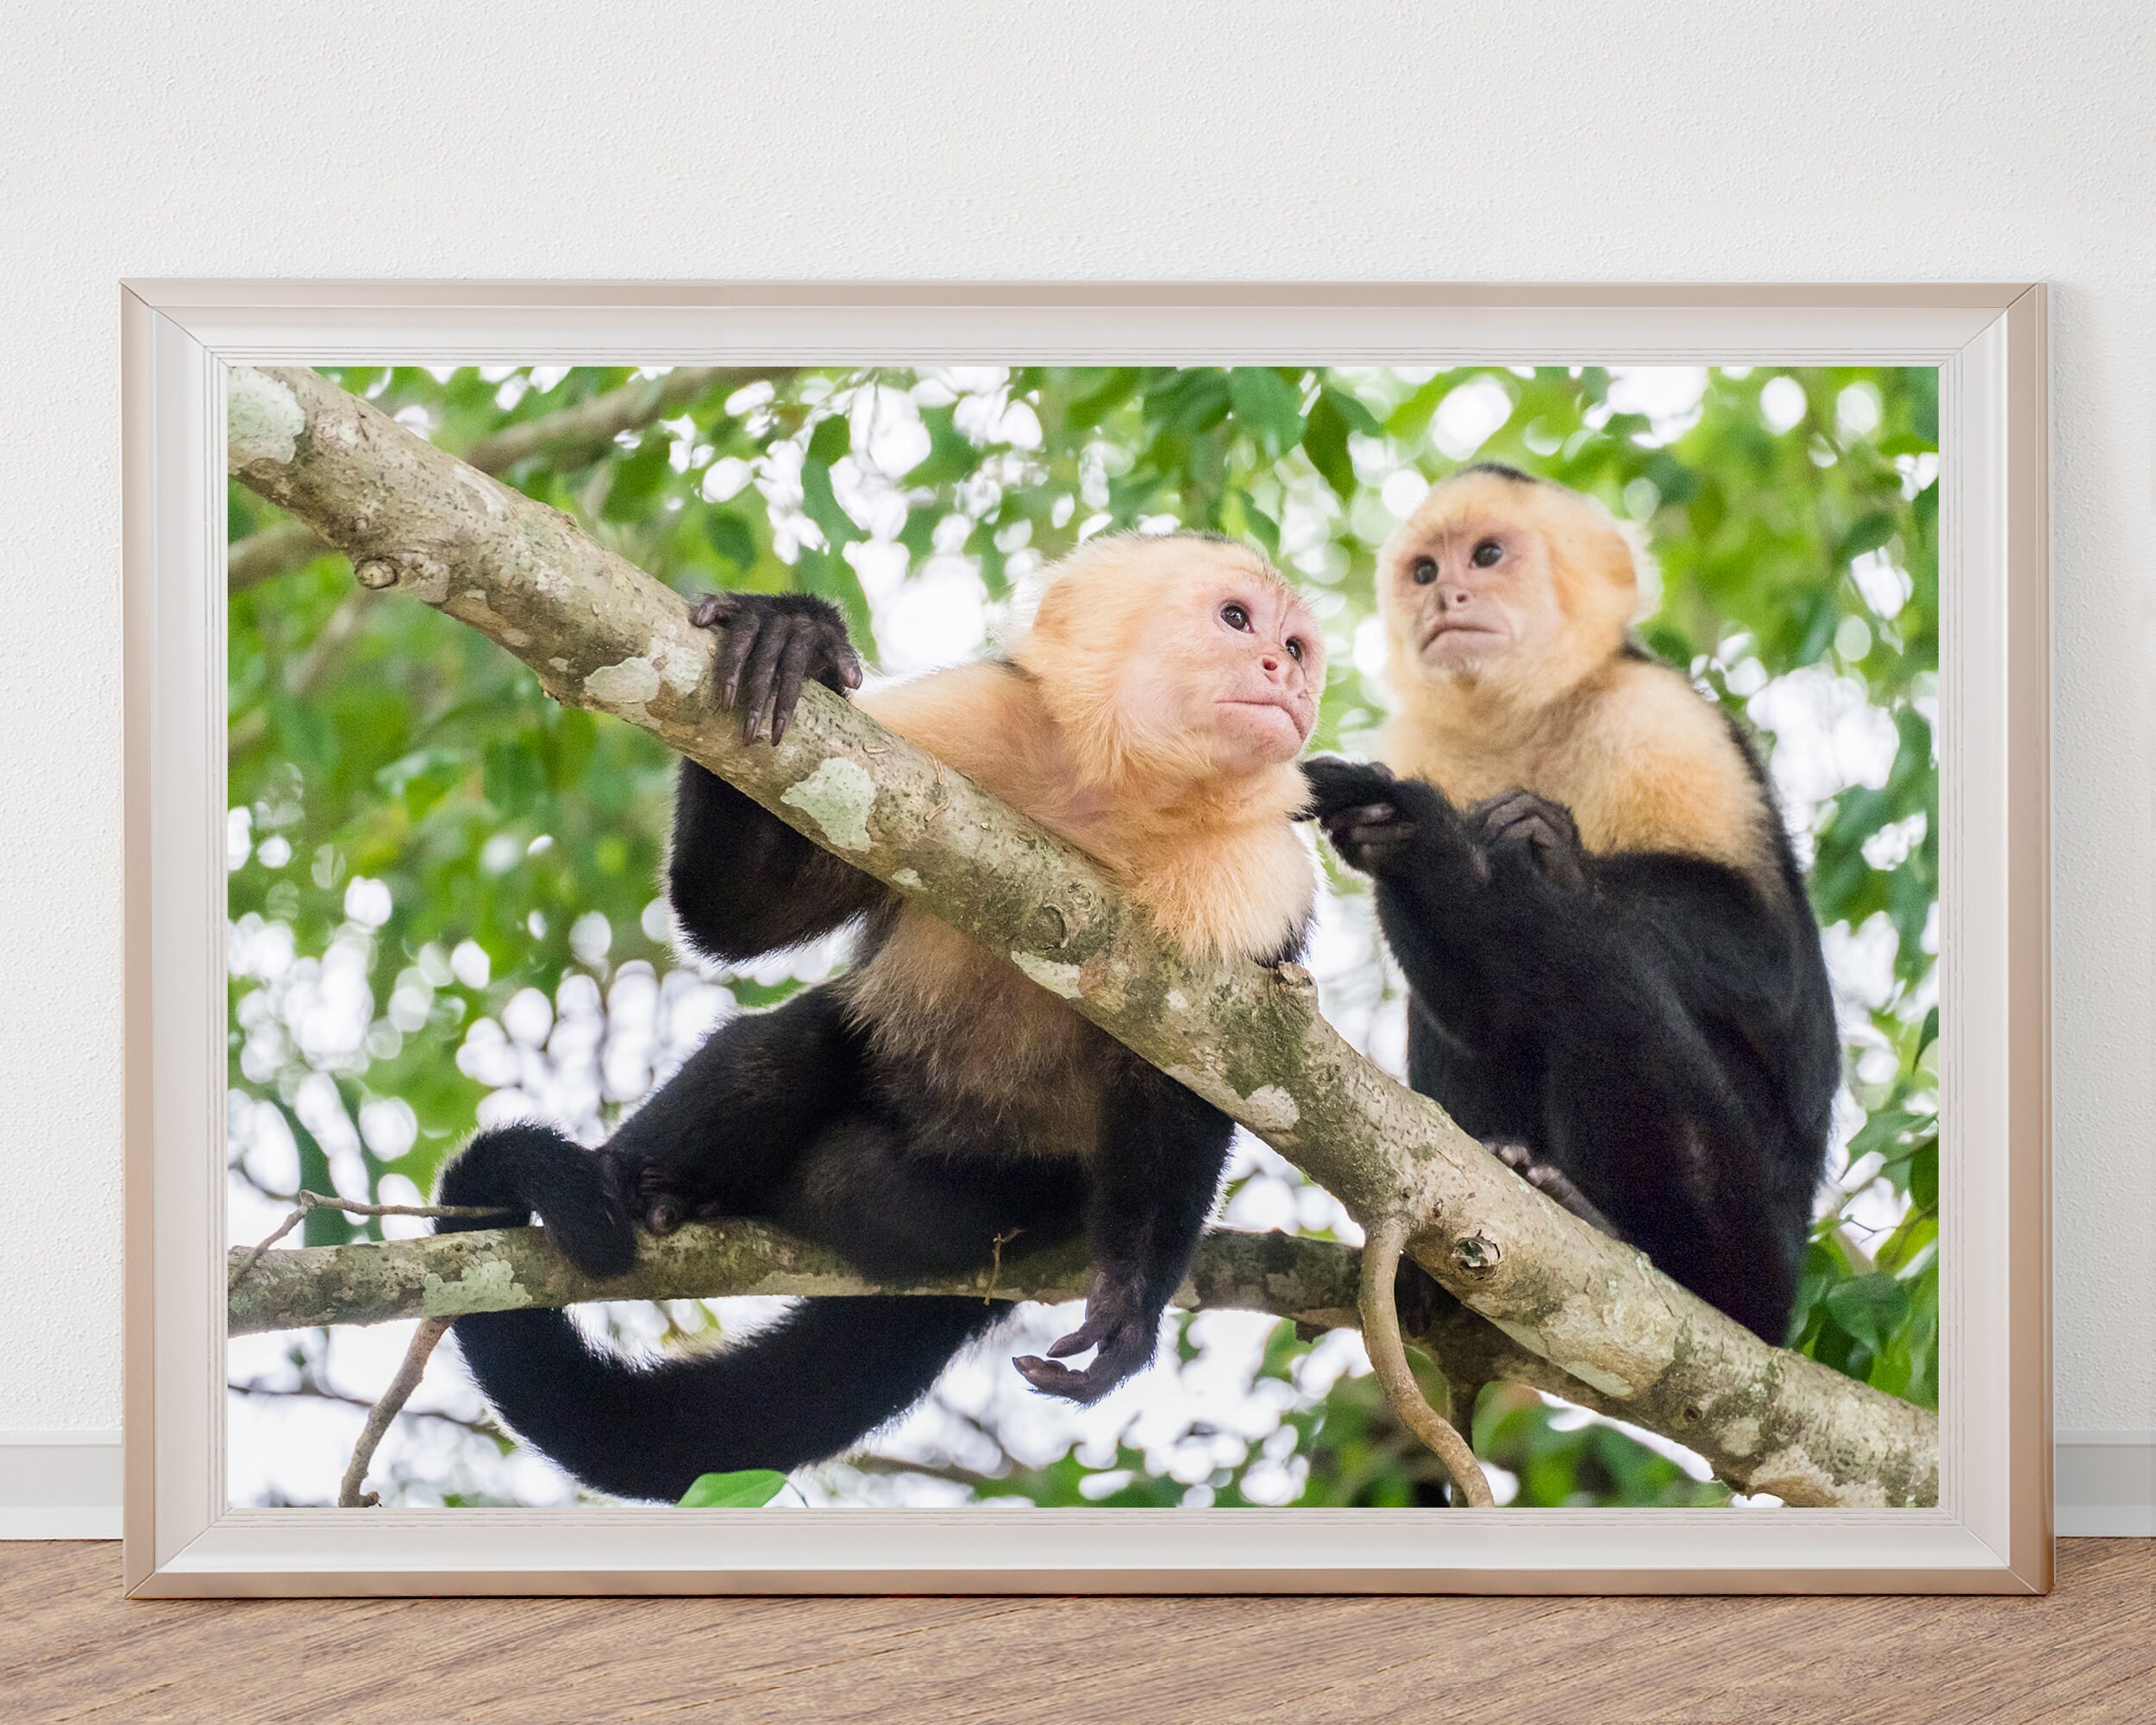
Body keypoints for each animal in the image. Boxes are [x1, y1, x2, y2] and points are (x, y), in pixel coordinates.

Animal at [433, 533, 1327, 1500]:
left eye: (1296, 645)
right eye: (1237, 619)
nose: (1284, 669)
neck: (1115, 796)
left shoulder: (1262, 877)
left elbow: (1202, 1084)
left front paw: (1131, 1302)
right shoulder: (963, 721)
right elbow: (737, 916)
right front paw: (794, 635)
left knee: (894, 1201)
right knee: (780, 1052)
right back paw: (653, 1188)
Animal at [1302, 464, 1839, 1344]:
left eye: (1486, 556)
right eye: (1425, 571)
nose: (1445, 596)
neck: (1524, 722)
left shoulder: (1657, 716)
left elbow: (1767, 961)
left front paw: (1545, 850)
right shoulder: (1422, 741)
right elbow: (1477, 1007)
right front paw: (1412, 848)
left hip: (1762, 1253)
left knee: (1592, 967)